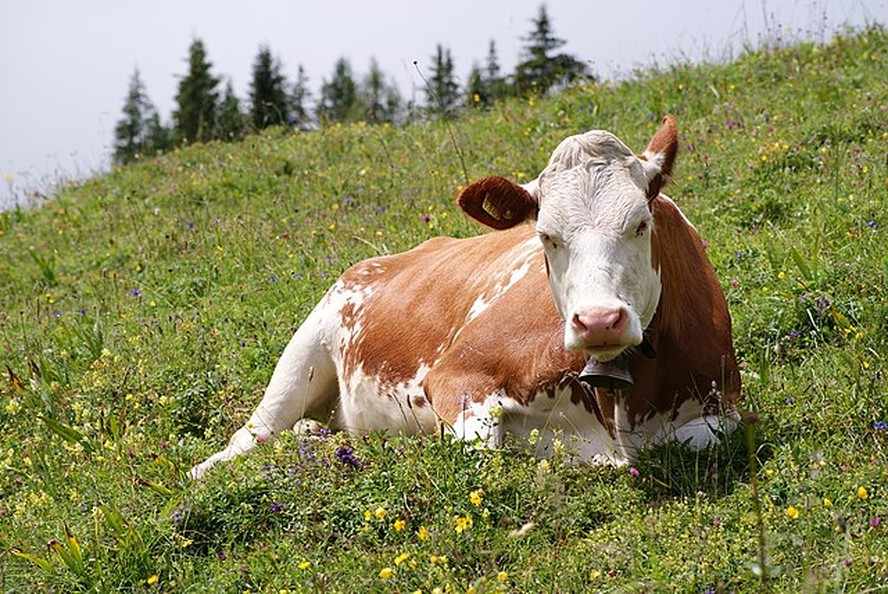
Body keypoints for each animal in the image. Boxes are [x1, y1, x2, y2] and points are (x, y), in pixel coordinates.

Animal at [189, 115, 741, 480]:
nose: (599, 320)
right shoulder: (457, 376)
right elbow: (482, 450)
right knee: (252, 434)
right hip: (305, 351)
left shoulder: (724, 407)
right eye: (546, 236)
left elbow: (703, 438)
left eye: (641, 223)